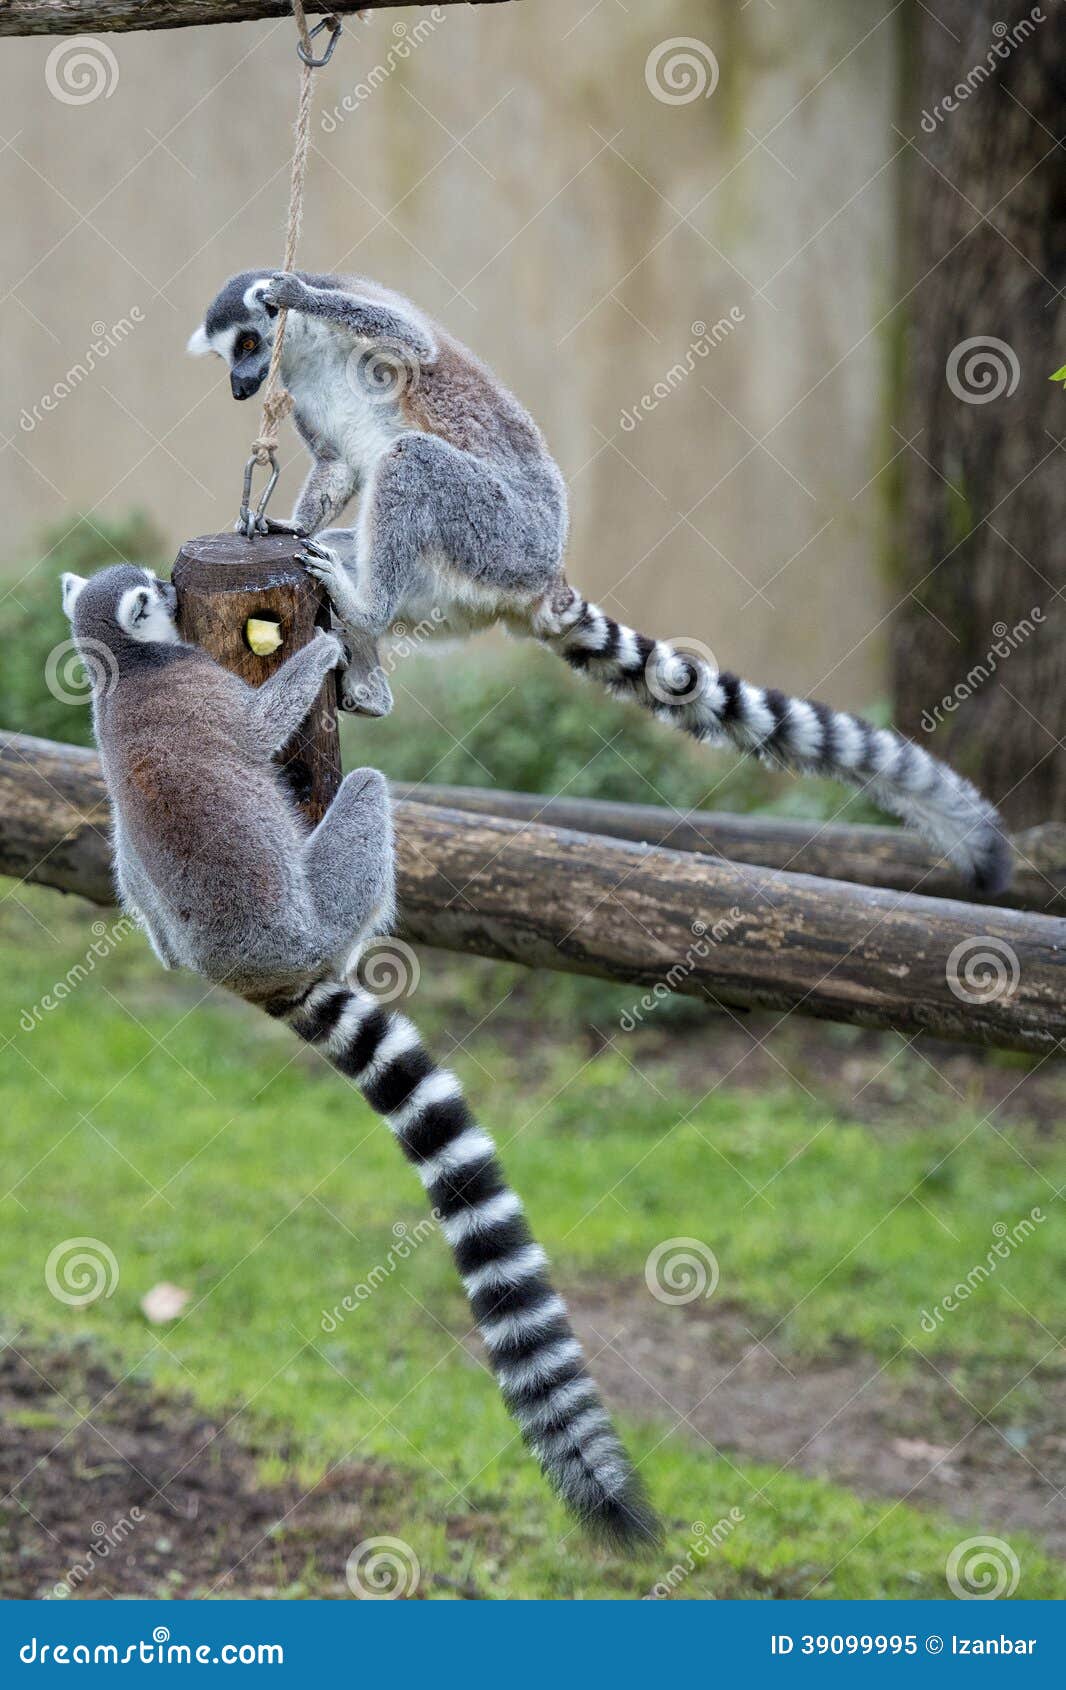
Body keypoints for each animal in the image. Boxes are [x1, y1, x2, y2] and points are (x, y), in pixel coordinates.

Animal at [59, 562, 659, 1553]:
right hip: (320, 904)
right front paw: (323, 651)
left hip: (167, 908)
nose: (168, 590)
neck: (128, 668)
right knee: (370, 790)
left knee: (130, 859)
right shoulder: (207, 696)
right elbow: (260, 727)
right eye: (150, 591)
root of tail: (252, 972)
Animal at [188, 269, 1012, 897]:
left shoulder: (363, 309)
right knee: (362, 542)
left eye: (250, 345)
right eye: (232, 357)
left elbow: (409, 340)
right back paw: (365, 663)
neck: (308, 358)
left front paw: (292, 288)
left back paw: (367, 603)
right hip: (455, 586)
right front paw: (269, 524)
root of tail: (541, 578)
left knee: (412, 463)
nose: (237, 389)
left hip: (500, 536)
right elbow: (336, 468)